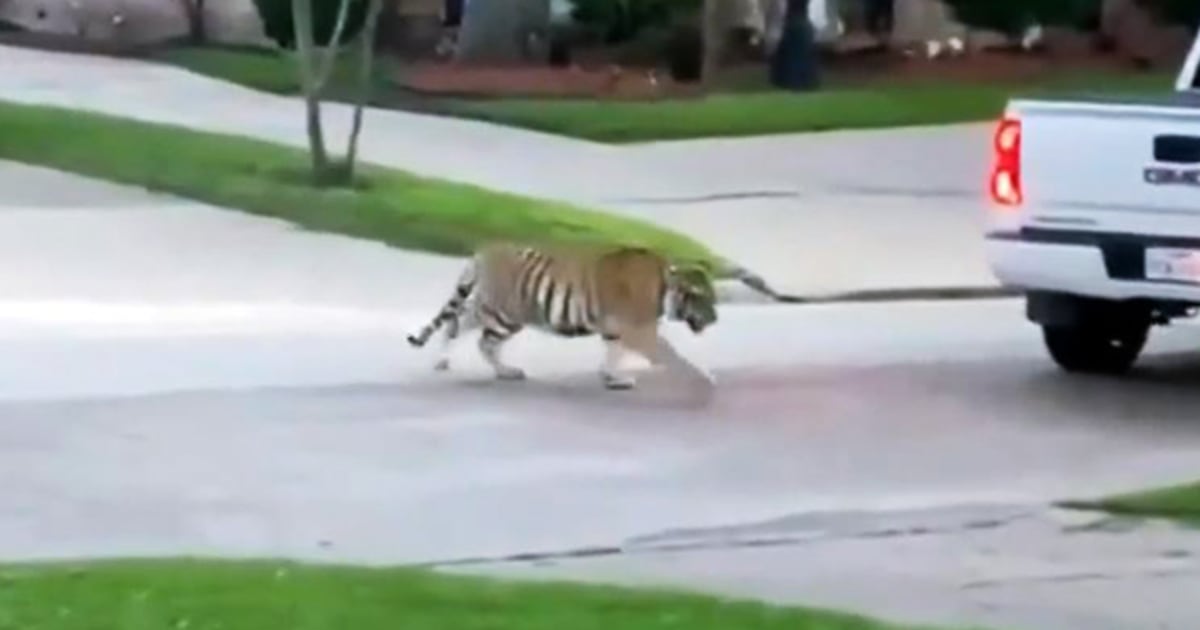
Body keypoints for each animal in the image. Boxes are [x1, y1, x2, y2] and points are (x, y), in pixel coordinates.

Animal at [405, 241, 719, 390]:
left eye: (712, 294)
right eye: (699, 296)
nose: (715, 318)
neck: (664, 289)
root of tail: (484, 251)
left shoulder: (616, 328)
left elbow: (613, 352)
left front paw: (612, 378)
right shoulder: (640, 329)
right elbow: (674, 355)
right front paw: (703, 376)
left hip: (496, 308)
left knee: (459, 323)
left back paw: (454, 362)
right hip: (504, 312)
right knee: (475, 335)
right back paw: (499, 370)